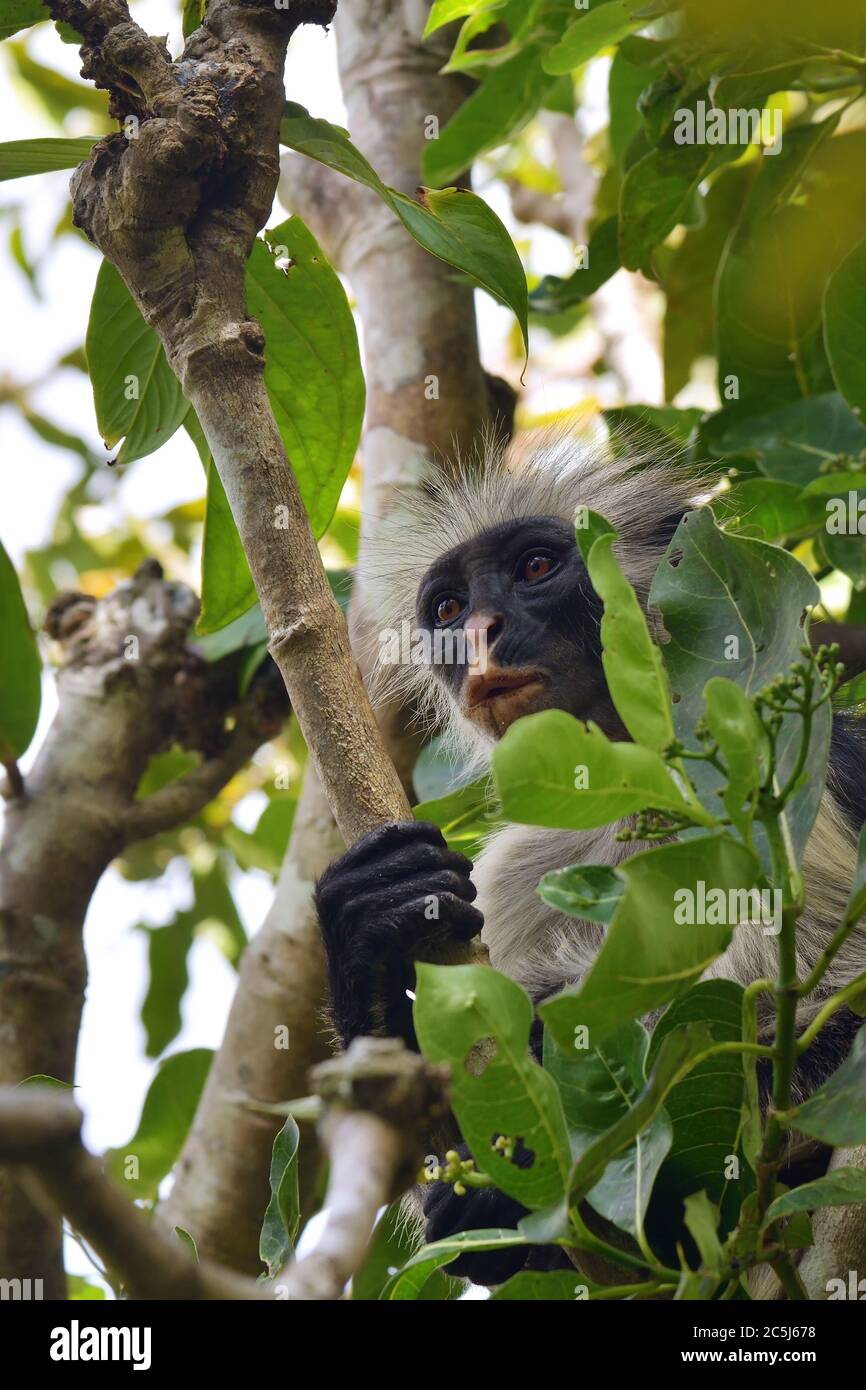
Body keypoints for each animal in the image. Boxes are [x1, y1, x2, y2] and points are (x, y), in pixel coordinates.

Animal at [314, 437, 866, 1287]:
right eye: (446, 611)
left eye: (536, 568)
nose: (481, 631)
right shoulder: (519, 859)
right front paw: (369, 936)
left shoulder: (787, 769)